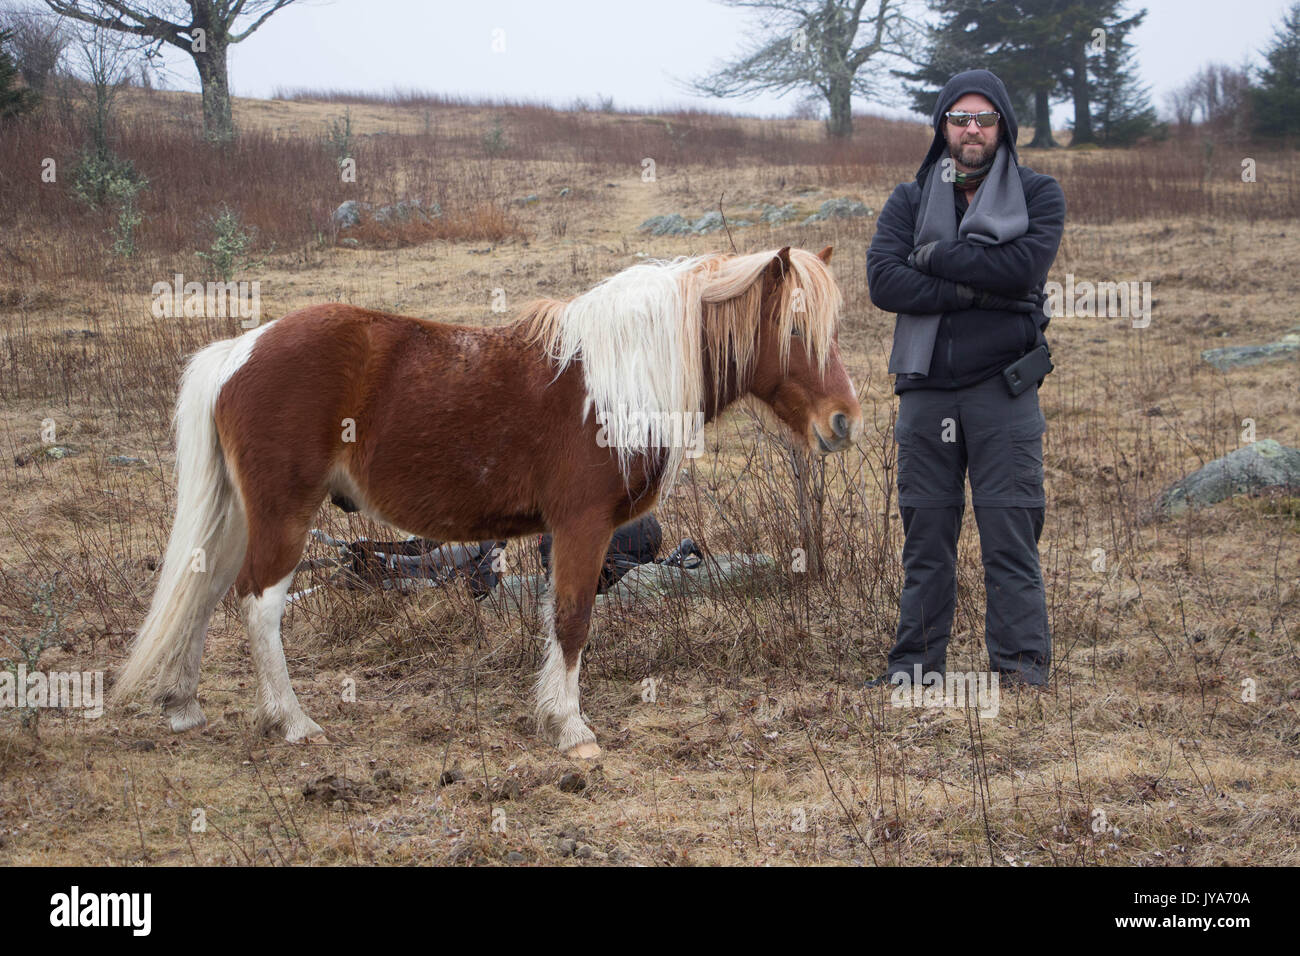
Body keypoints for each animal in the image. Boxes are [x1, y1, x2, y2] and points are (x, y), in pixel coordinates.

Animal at [112, 245, 863, 758]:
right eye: (796, 332)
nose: (844, 422)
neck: (619, 377)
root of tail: (241, 348)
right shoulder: (583, 526)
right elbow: (572, 621)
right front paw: (573, 732)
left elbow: (557, 620)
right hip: (284, 513)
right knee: (259, 605)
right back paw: (294, 723)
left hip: (245, 514)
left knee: (204, 589)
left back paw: (182, 703)